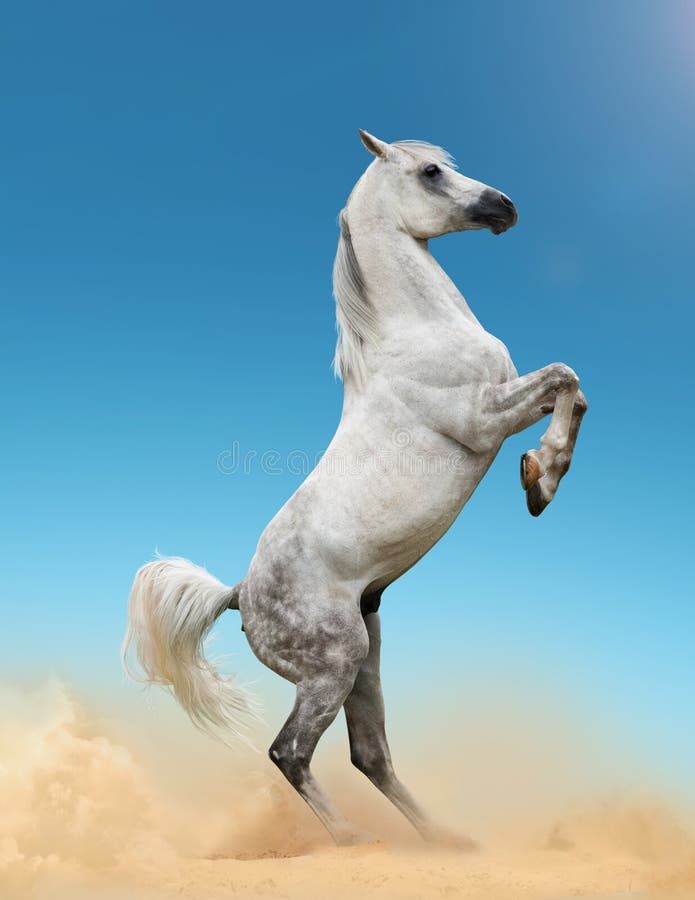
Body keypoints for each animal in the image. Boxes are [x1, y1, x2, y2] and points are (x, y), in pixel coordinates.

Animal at [122, 129, 587, 846]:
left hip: (366, 659)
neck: (417, 335)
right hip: (334, 664)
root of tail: (238, 595)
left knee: (370, 754)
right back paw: (349, 839)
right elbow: (565, 376)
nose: (505, 207)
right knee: (290, 751)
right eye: (431, 172)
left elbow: (575, 389)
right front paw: (540, 478)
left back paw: (445, 841)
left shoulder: (507, 402)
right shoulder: (483, 420)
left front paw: (540, 474)